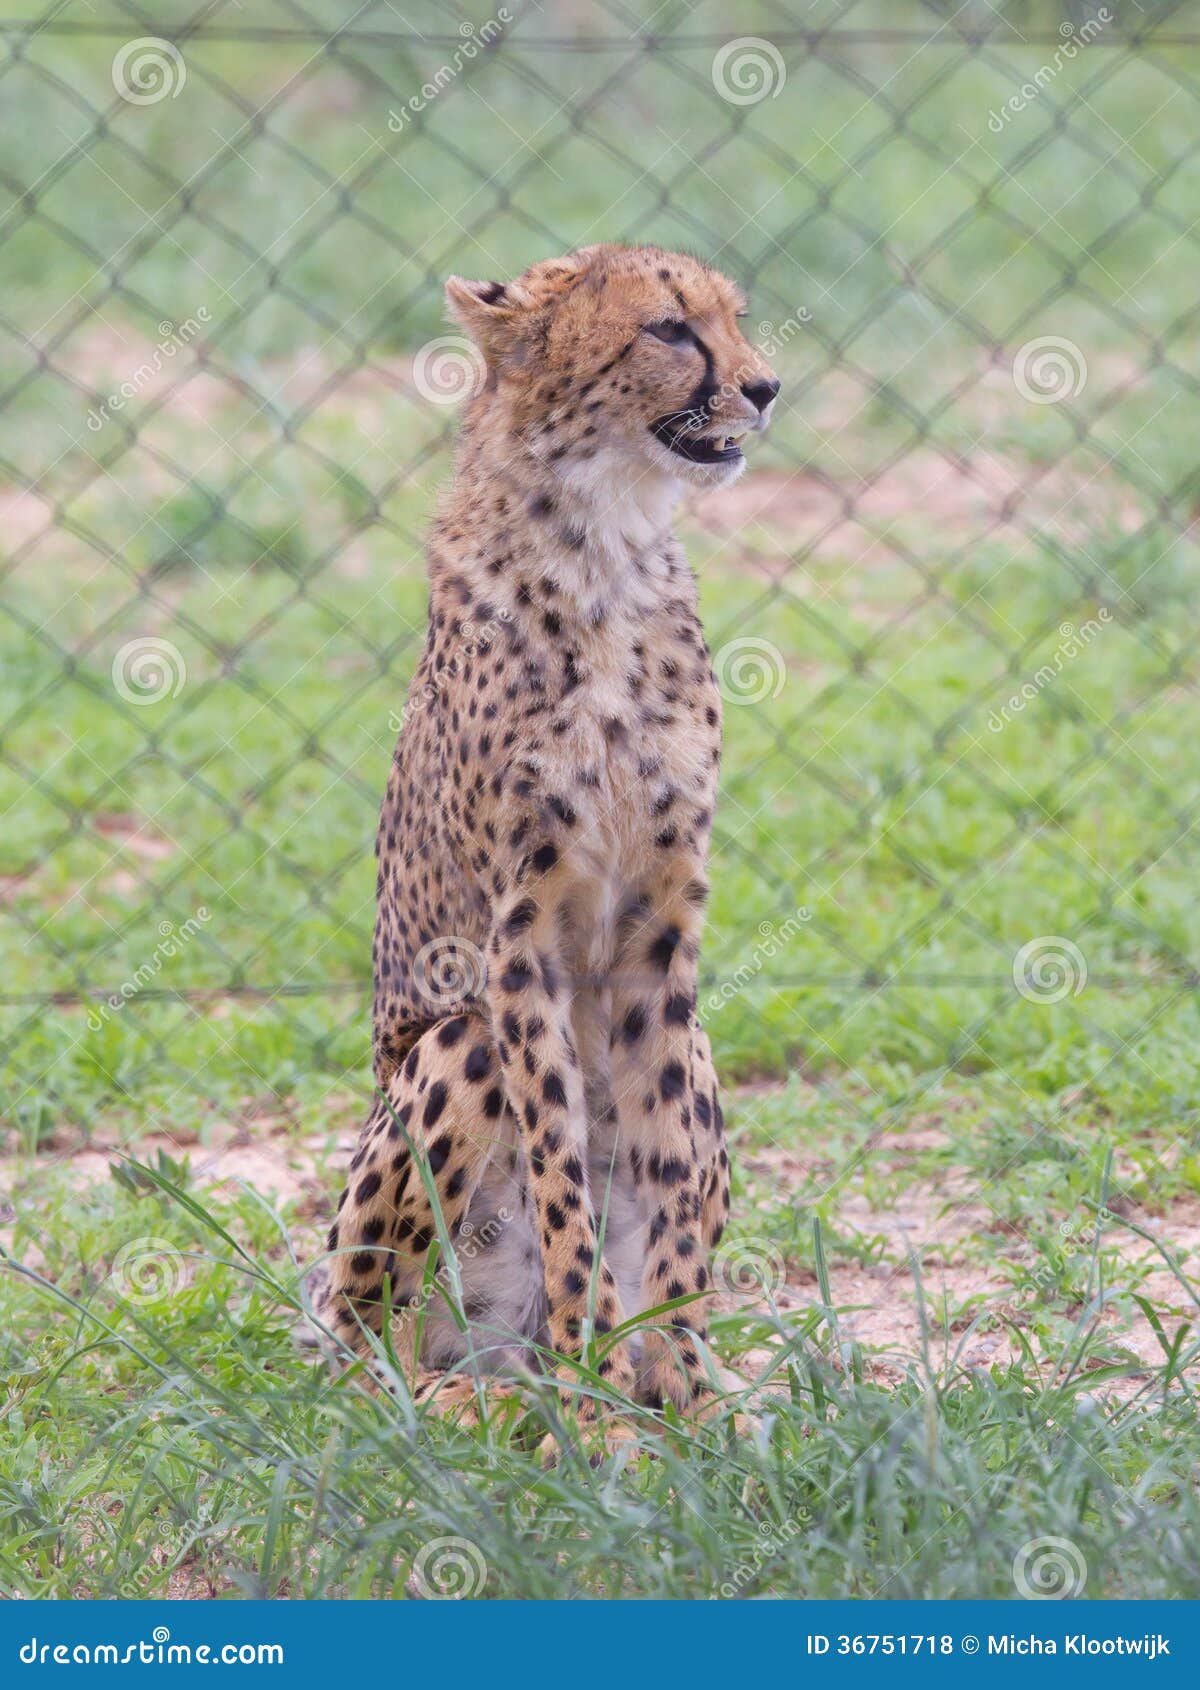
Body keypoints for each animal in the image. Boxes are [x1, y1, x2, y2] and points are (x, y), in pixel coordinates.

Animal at [310, 242, 780, 1443]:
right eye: (669, 329)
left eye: (734, 319)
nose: (765, 387)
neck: (605, 544)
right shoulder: (520, 940)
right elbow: (568, 1182)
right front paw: (602, 1400)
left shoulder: (662, 930)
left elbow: (664, 1180)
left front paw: (686, 1397)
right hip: (453, 1044)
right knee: (351, 1343)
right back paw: (460, 1395)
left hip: (697, 1046)